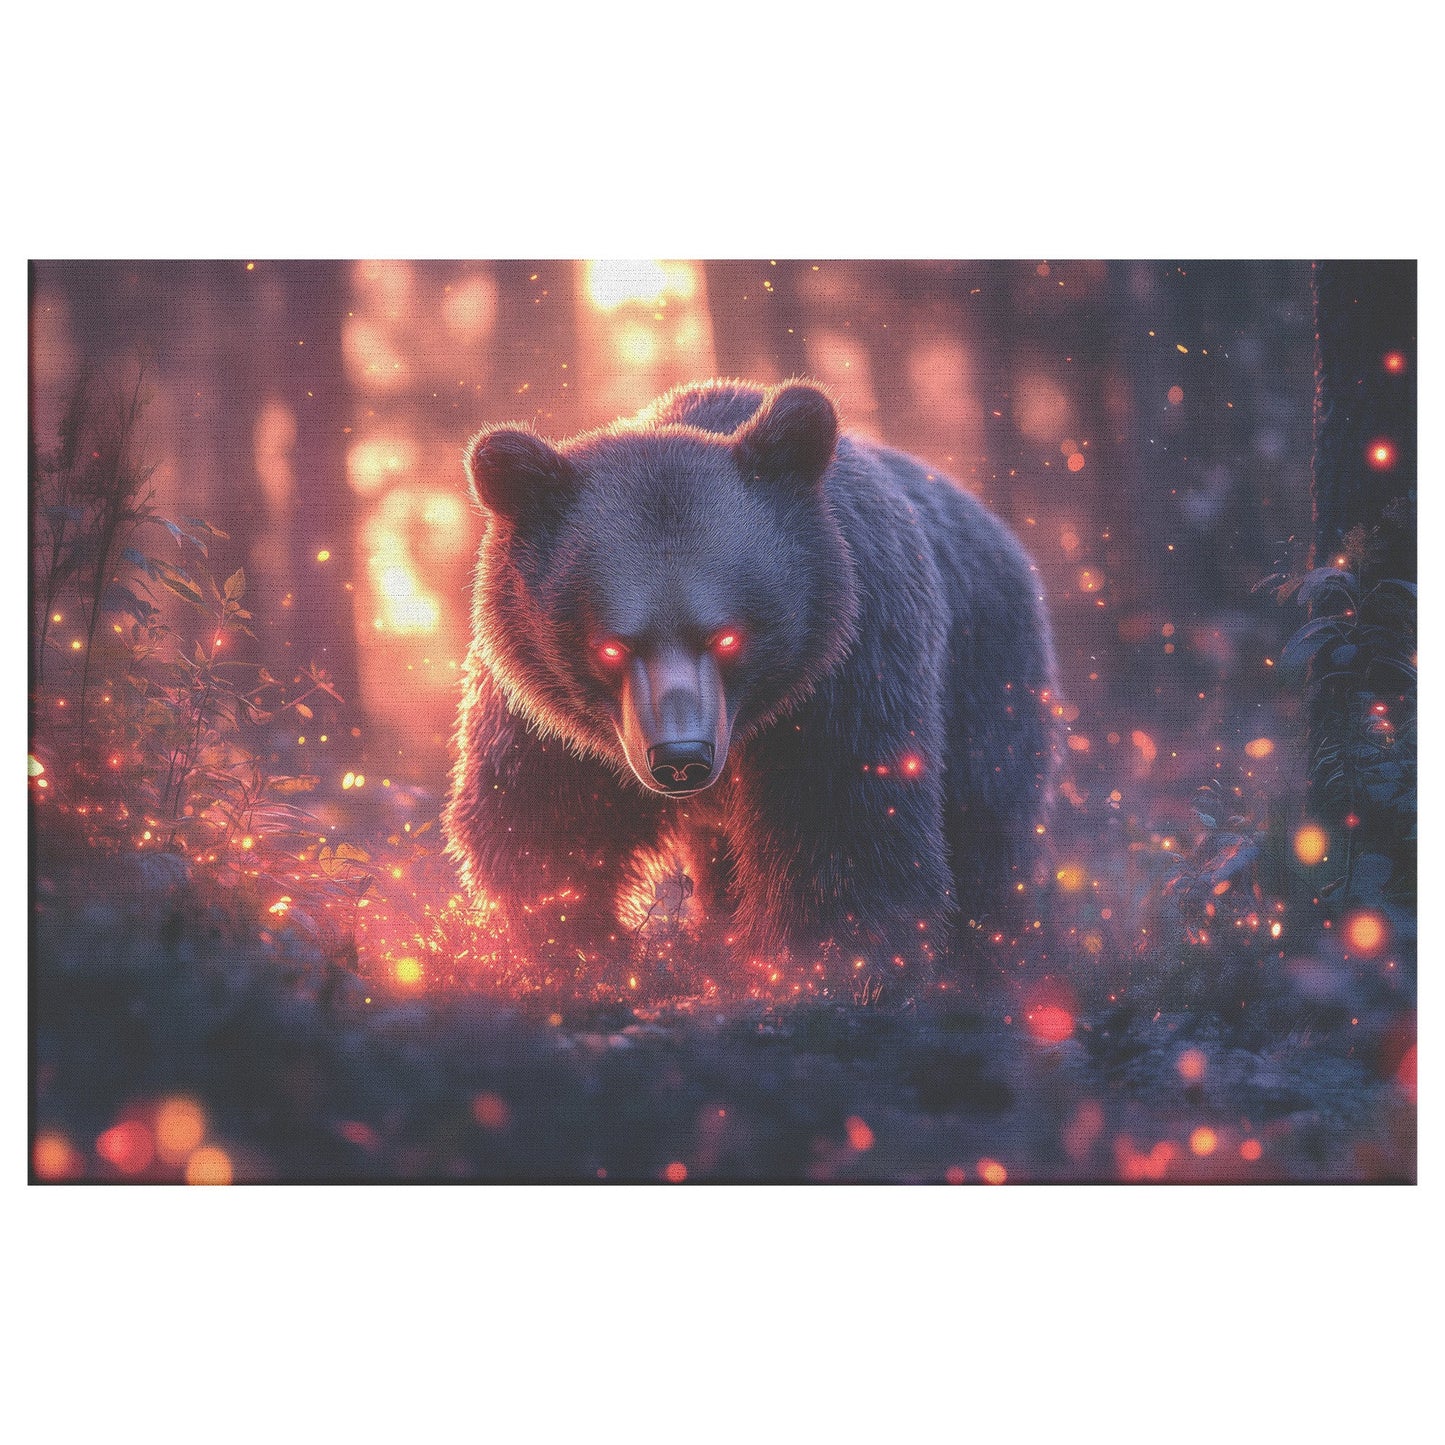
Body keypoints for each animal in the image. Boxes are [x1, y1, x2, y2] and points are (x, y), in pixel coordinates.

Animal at [444, 379, 1058, 992]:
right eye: (613, 646)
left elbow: (841, 828)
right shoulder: (545, 714)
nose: (680, 758)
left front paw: (827, 966)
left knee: (988, 828)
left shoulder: (849, 678)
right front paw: (581, 955)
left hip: (986, 676)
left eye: (728, 637)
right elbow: (541, 825)